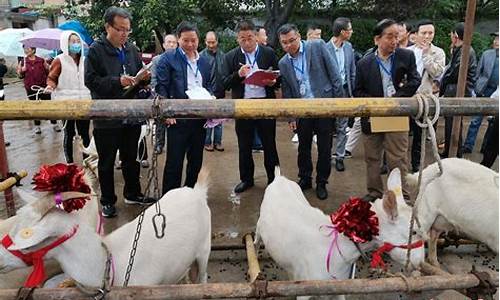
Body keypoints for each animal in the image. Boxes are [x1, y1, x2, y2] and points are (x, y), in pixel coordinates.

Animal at [0, 168, 211, 288]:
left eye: (24, 236)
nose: (0, 259)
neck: (108, 263)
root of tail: (197, 191)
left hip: (204, 250)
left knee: (202, 278)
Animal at [256, 168, 424, 298]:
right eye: (414, 231)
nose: (420, 262)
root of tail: (278, 178)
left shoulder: (339, 286)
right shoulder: (305, 289)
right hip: (259, 223)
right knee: (256, 239)